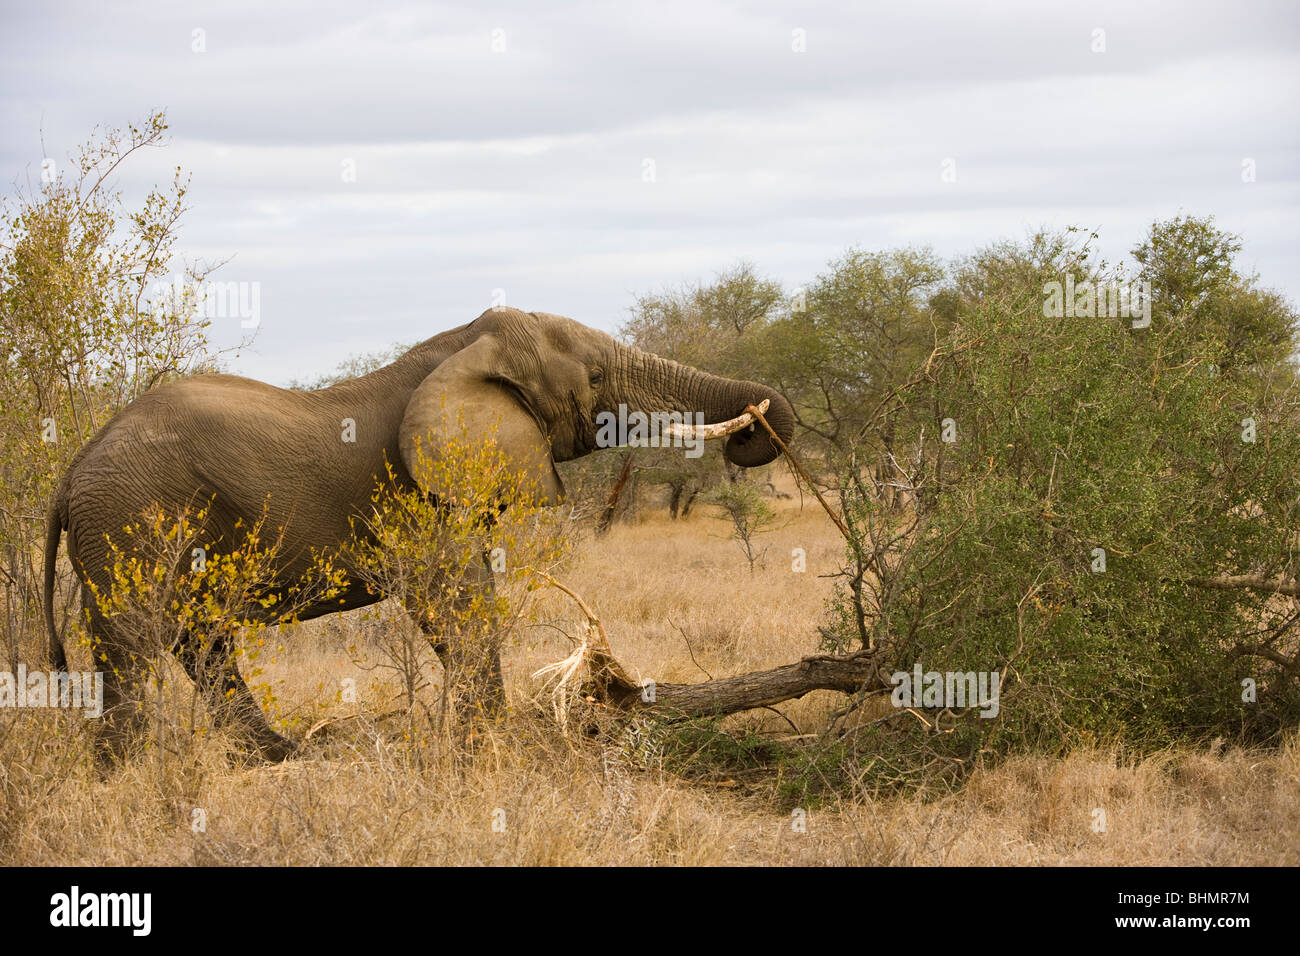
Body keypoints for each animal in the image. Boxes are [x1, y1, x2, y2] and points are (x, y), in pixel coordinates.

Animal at [42, 307, 795, 762]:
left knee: (197, 641)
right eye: (598, 376)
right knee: (135, 641)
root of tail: (71, 471)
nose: (756, 423)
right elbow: (457, 603)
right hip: (130, 523)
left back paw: (283, 756)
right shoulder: (418, 499)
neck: (459, 346)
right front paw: (492, 743)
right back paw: (132, 773)